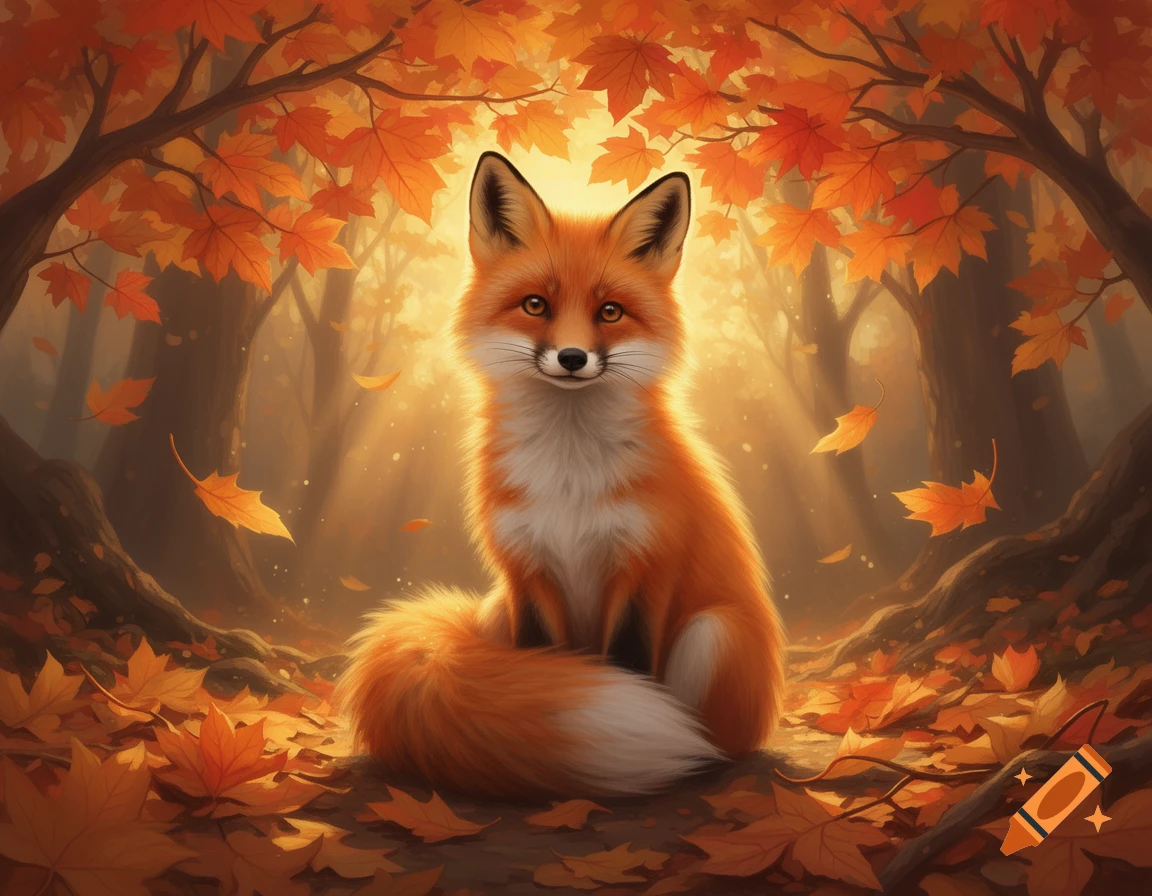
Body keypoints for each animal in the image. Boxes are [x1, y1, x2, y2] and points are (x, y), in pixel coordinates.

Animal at [336, 151, 784, 799]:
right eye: (535, 305)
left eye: (609, 311)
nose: (573, 358)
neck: (569, 476)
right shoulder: (527, 570)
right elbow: (538, 667)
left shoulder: (646, 569)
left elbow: (630, 665)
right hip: (497, 611)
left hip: (713, 632)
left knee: (720, 736)